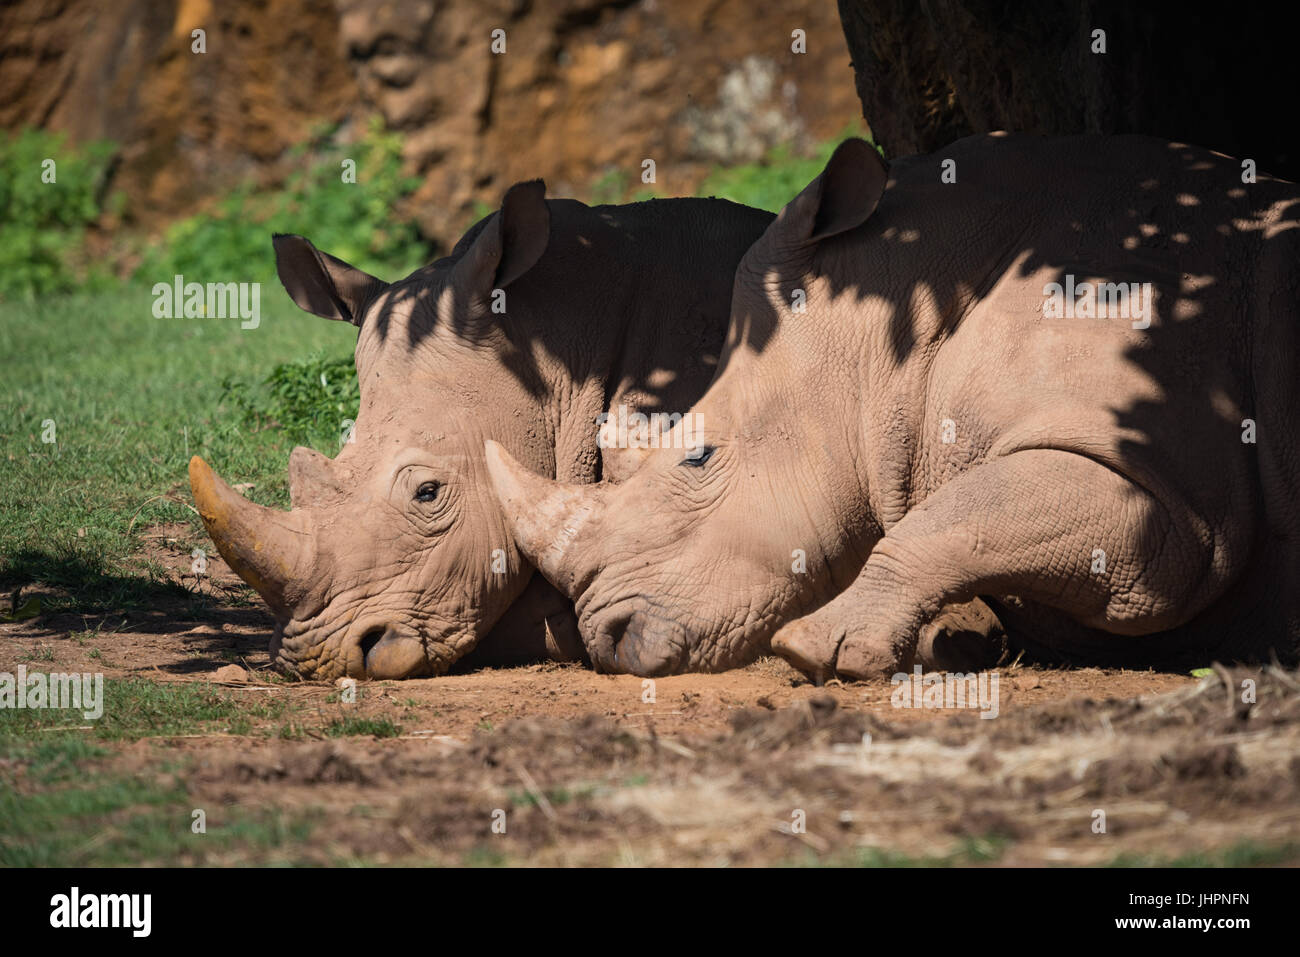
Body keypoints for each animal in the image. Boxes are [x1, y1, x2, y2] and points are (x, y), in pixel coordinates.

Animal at [486, 134, 1300, 680]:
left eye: (699, 455)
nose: (608, 640)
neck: (896, 327)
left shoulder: (1164, 488)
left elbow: (962, 516)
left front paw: (820, 650)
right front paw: (953, 644)